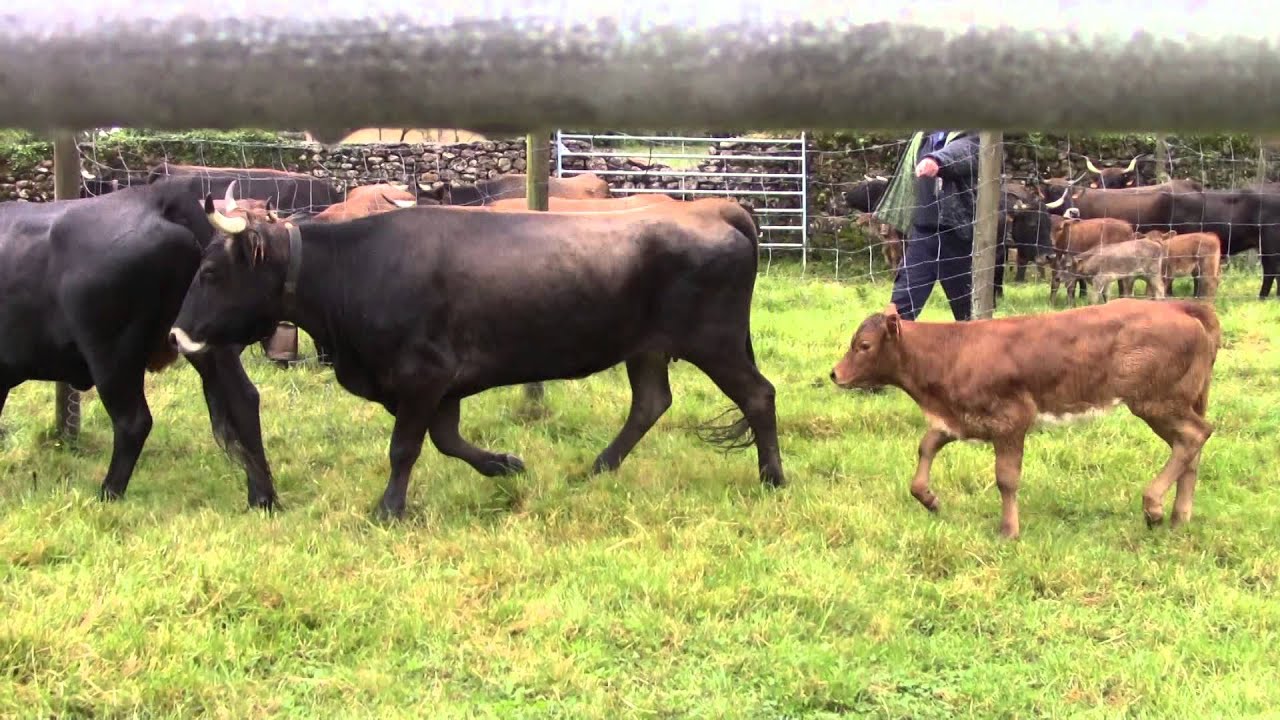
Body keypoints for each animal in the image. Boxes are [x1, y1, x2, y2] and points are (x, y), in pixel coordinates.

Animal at [0, 178, 279, 508]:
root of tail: (156, 196)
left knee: (133, 421)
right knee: (243, 399)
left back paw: (108, 493)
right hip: (205, 334)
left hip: (112, 355)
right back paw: (262, 497)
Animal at [169, 197, 786, 519]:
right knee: (651, 403)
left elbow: (405, 447)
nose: (176, 335)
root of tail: (712, 209)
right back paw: (598, 467)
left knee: (759, 394)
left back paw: (772, 478)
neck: (355, 268)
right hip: (647, 347)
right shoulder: (442, 384)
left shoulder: (424, 373)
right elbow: (447, 440)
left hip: (714, 340)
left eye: (211, 272)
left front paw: (389, 509)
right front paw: (505, 465)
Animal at [830, 299, 1220, 538]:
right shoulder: (961, 419)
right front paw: (929, 498)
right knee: (1190, 448)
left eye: (863, 345)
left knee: (1195, 435)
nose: (835, 374)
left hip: (1157, 401)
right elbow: (927, 446)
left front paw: (1009, 530)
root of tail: (1180, 307)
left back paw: (1153, 506)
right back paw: (1178, 517)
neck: (950, 353)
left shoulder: (1011, 419)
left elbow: (1006, 478)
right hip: (1174, 402)